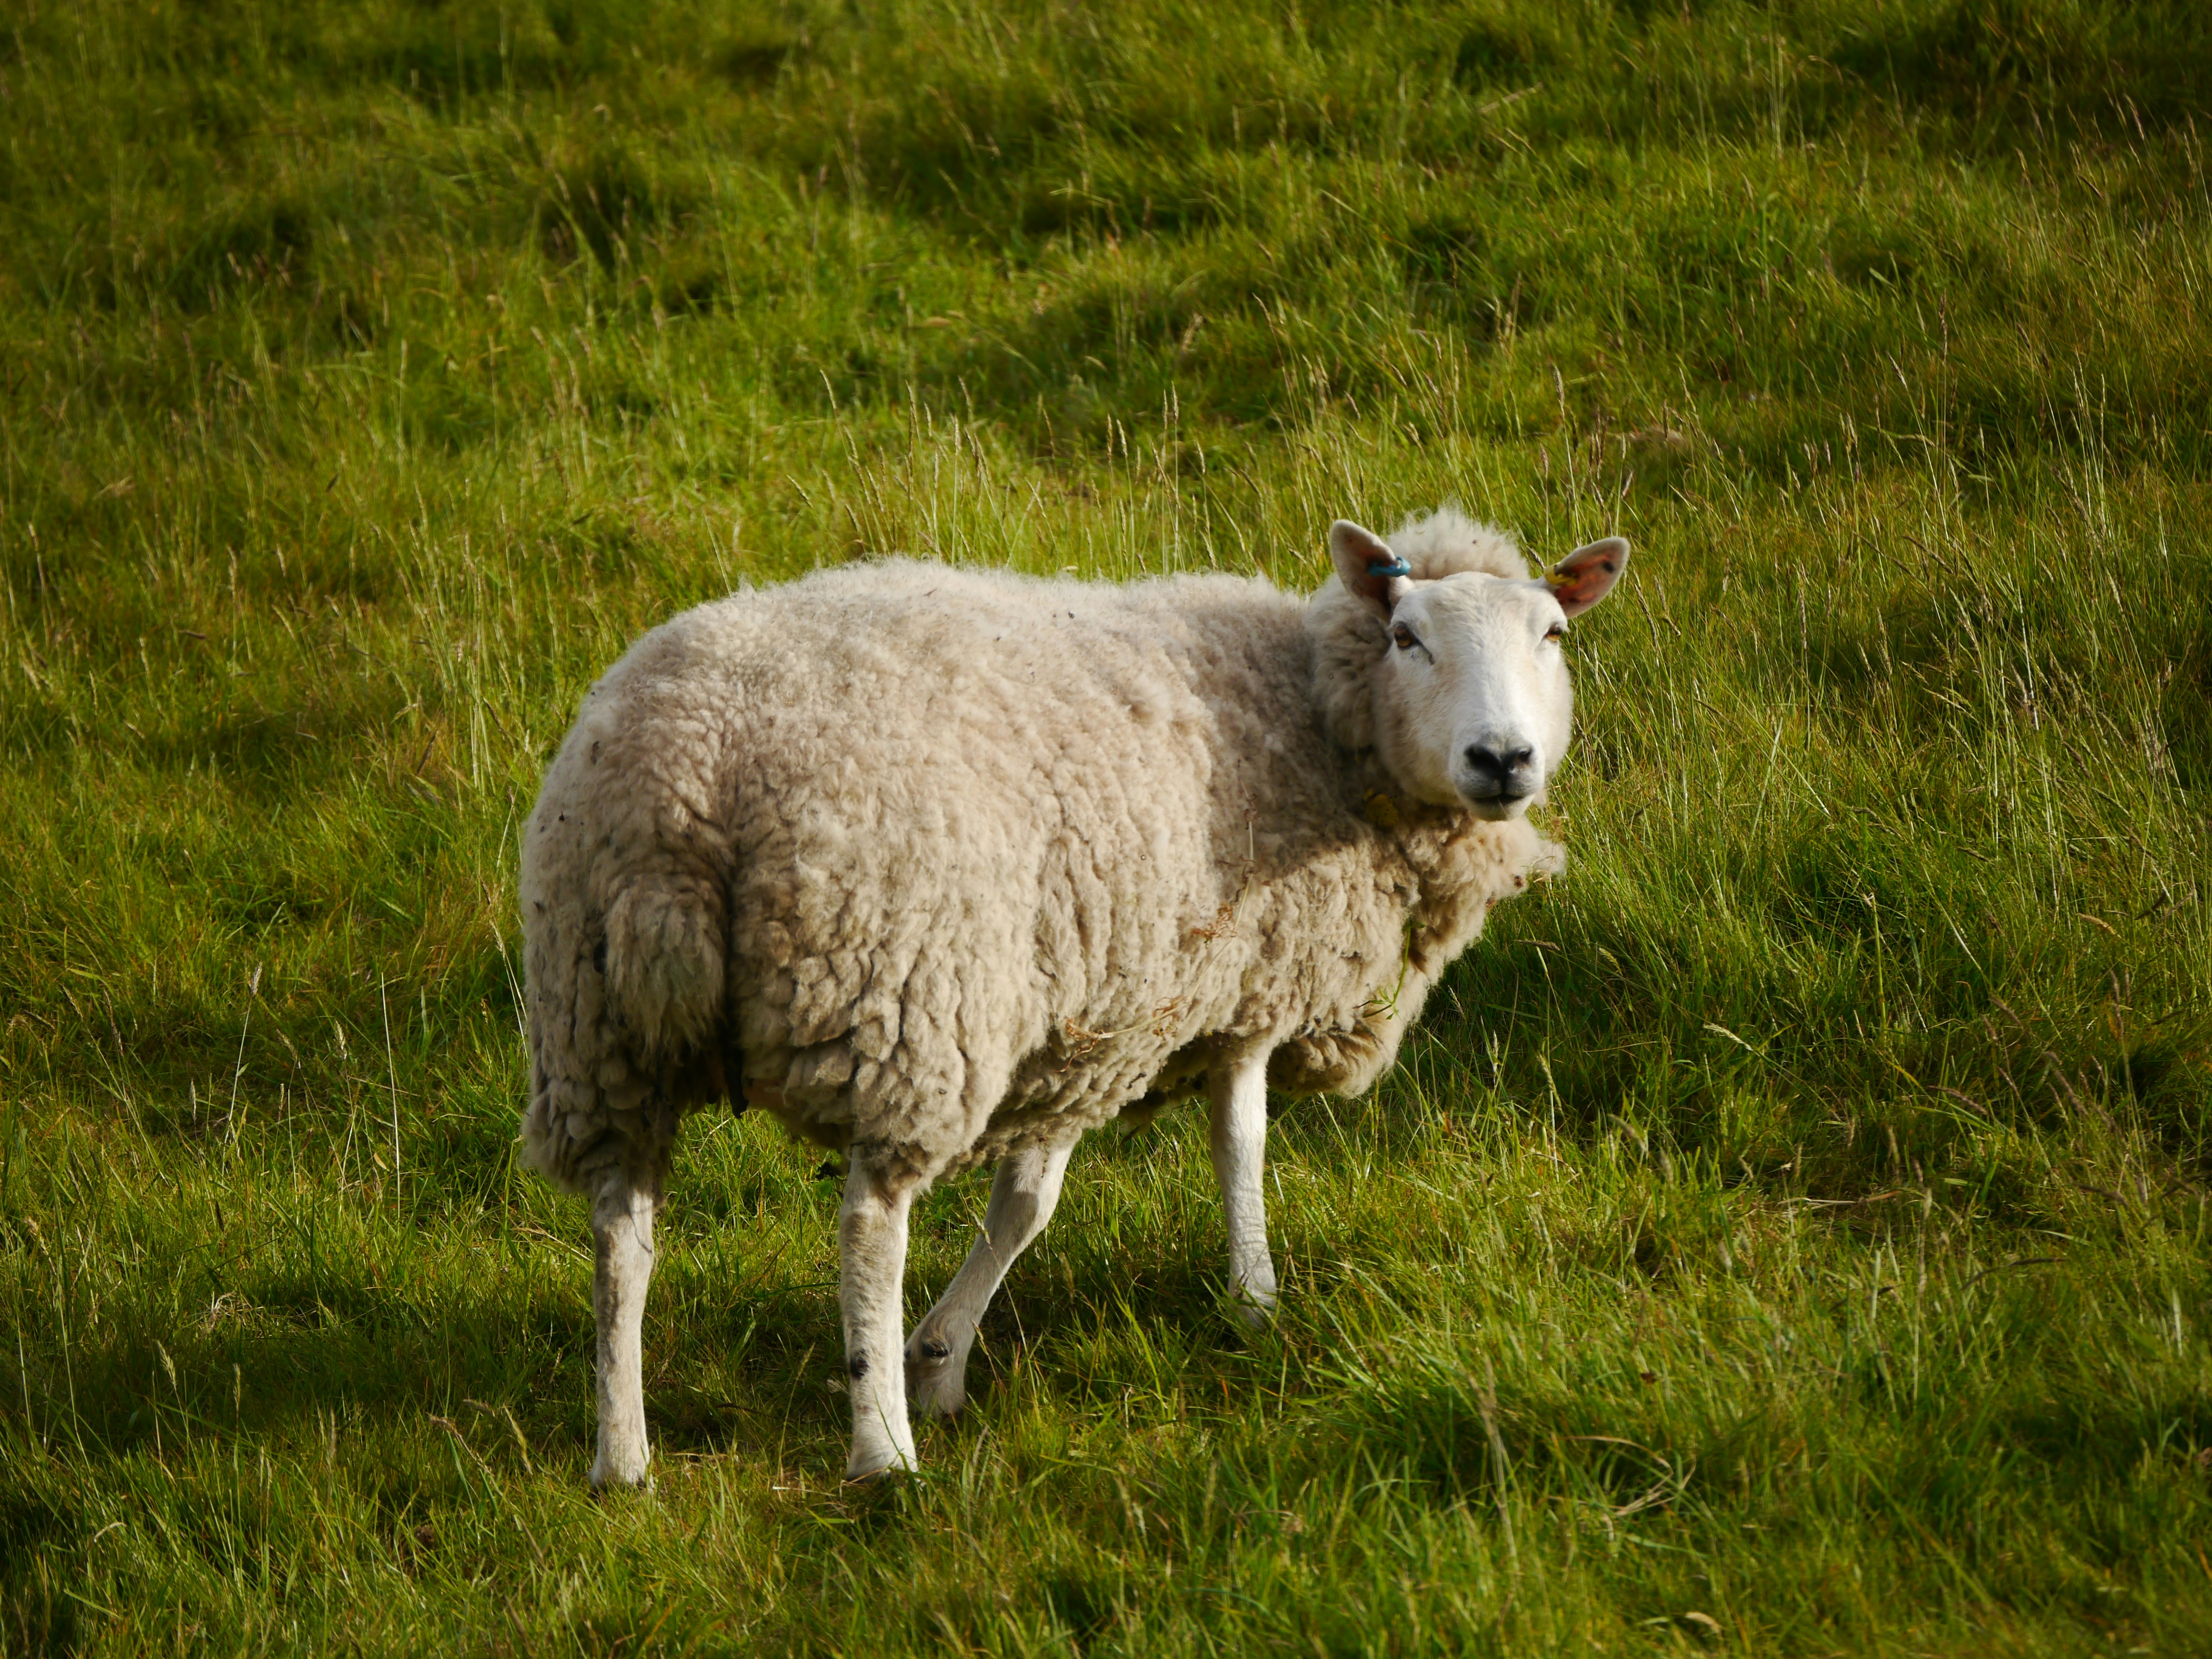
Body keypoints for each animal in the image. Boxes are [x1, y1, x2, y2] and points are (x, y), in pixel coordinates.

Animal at [519, 506, 1628, 1486]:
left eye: (1553, 635)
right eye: (1408, 637)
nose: (1502, 758)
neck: (1313, 713)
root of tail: (684, 788)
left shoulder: (1083, 1020)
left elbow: (1026, 1203)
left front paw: (943, 1358)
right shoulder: (1237, 994)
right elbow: (1237, 1144)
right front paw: (1256, 1303)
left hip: (598, 1030)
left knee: (621, 1235)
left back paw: (622, 1460)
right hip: (905, 1005)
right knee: (869, 1226)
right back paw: (881, 1451)